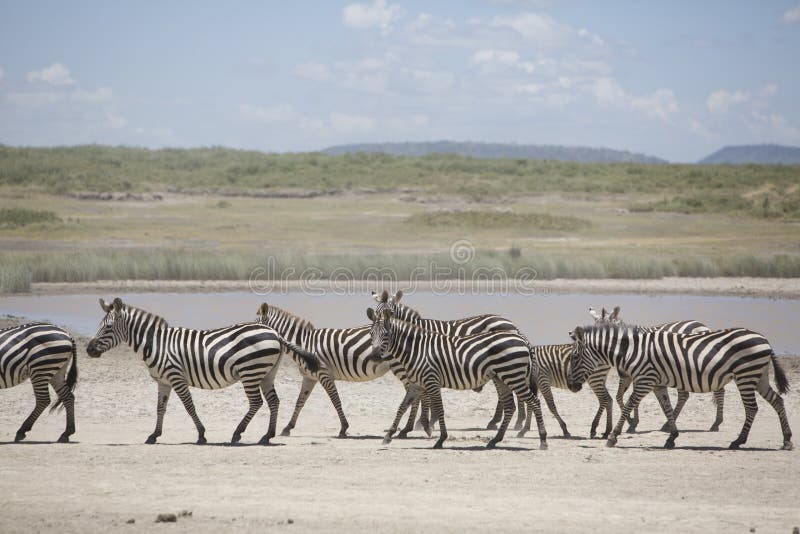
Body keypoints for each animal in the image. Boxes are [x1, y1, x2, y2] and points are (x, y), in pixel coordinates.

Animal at [86, 297, 319, 445]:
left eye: (107, 328)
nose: (88, 350)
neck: (157, 343)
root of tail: (274, 331)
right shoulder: (163, 381)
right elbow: (160, 408)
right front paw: (154, 435)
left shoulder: (176, 376)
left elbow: (189, 406)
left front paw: (201, 435)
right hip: (266, 372)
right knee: (273, 401)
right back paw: (267, 436)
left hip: (250, 371)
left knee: (256, 402)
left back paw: (237, 434)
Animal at [256, 302, 394, 437]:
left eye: (256, 325)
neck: (305, 344)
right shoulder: (309, 377)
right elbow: (300, 401)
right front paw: (288, 427)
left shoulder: (324, 374)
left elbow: (335, 400)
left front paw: (344, 428)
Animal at [366, 305, 548, 450]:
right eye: (371, 334)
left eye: (386, 334)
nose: (374, 356)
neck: (416, 350)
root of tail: (521, 339)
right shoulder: (416, 384)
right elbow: (402, 407)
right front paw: (389, 435)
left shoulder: (431, 381)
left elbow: (439, 409)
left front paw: (441, 439)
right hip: (501, 377)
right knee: (510, 406)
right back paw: (495, 440)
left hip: (513, 375)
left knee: (534, 402)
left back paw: (543, 440)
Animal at [567, 323, 793, 450]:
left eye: (575, 357)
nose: (571, 386)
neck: (632, 350)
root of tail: (765, 340)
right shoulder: (657, 383)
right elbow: (666, 408)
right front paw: (672, 437)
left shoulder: (645, 380)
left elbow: (630, 404)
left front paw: (613, 436)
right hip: (759, 376)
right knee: (777, 401)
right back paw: (787, 440)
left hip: (746, 375)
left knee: (752, 408)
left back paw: (738, 441)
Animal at [589, 306, 724, 433]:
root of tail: (702, 325)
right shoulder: (626, 376)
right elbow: (619, 397)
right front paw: (631, 421)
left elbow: (633, 399)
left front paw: (632, 423)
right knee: (685, 395)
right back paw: (669, 424)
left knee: (717, 390)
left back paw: (716, 423)